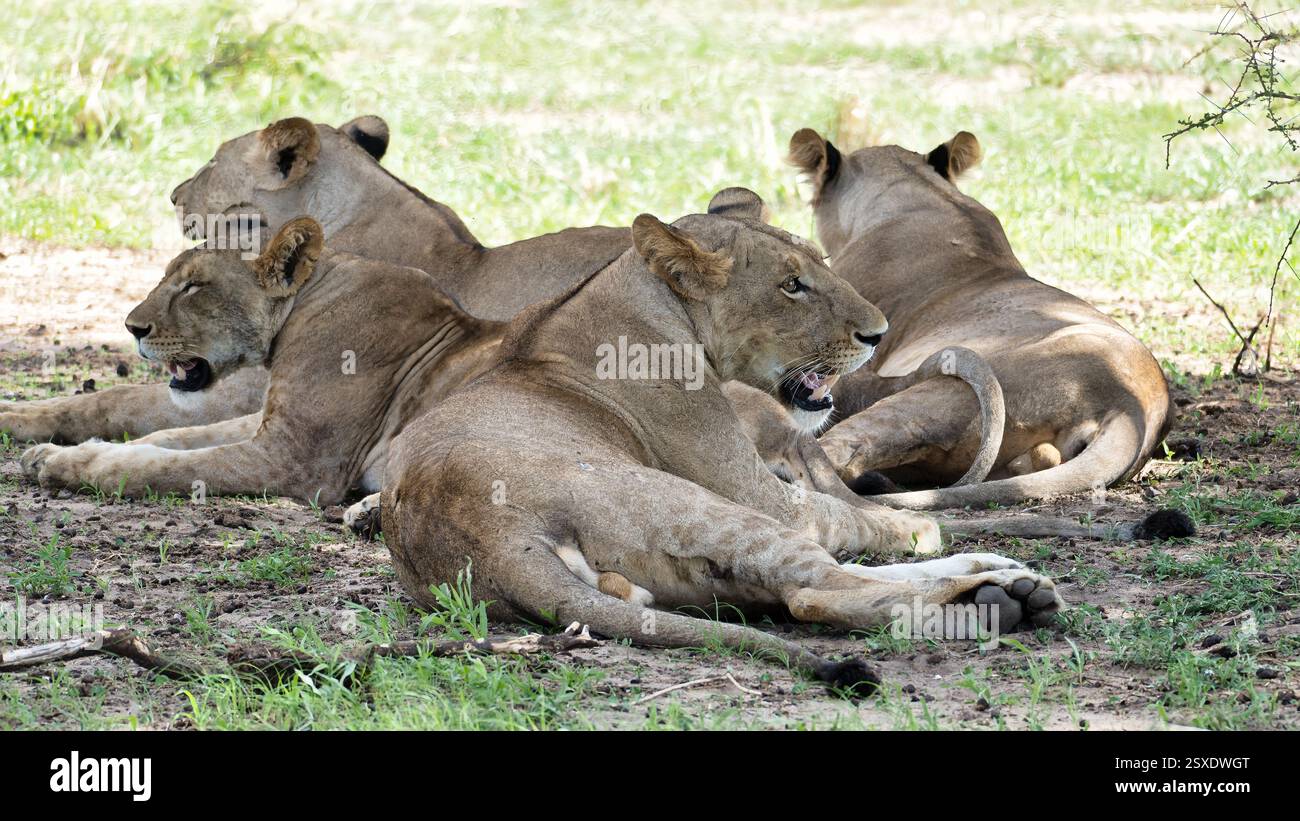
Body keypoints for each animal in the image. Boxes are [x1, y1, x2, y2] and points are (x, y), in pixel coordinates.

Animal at [371, 193, 1064, 691]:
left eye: (820, 268)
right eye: (791, 285)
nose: (877, 333)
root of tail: (488, 542)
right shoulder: (754, 490)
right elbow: (860, 516)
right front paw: (922, 527)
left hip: (690, 579)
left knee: (813, 584)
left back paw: (1002, 582)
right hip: (708, 510)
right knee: (815, 591)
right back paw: (998, 603)